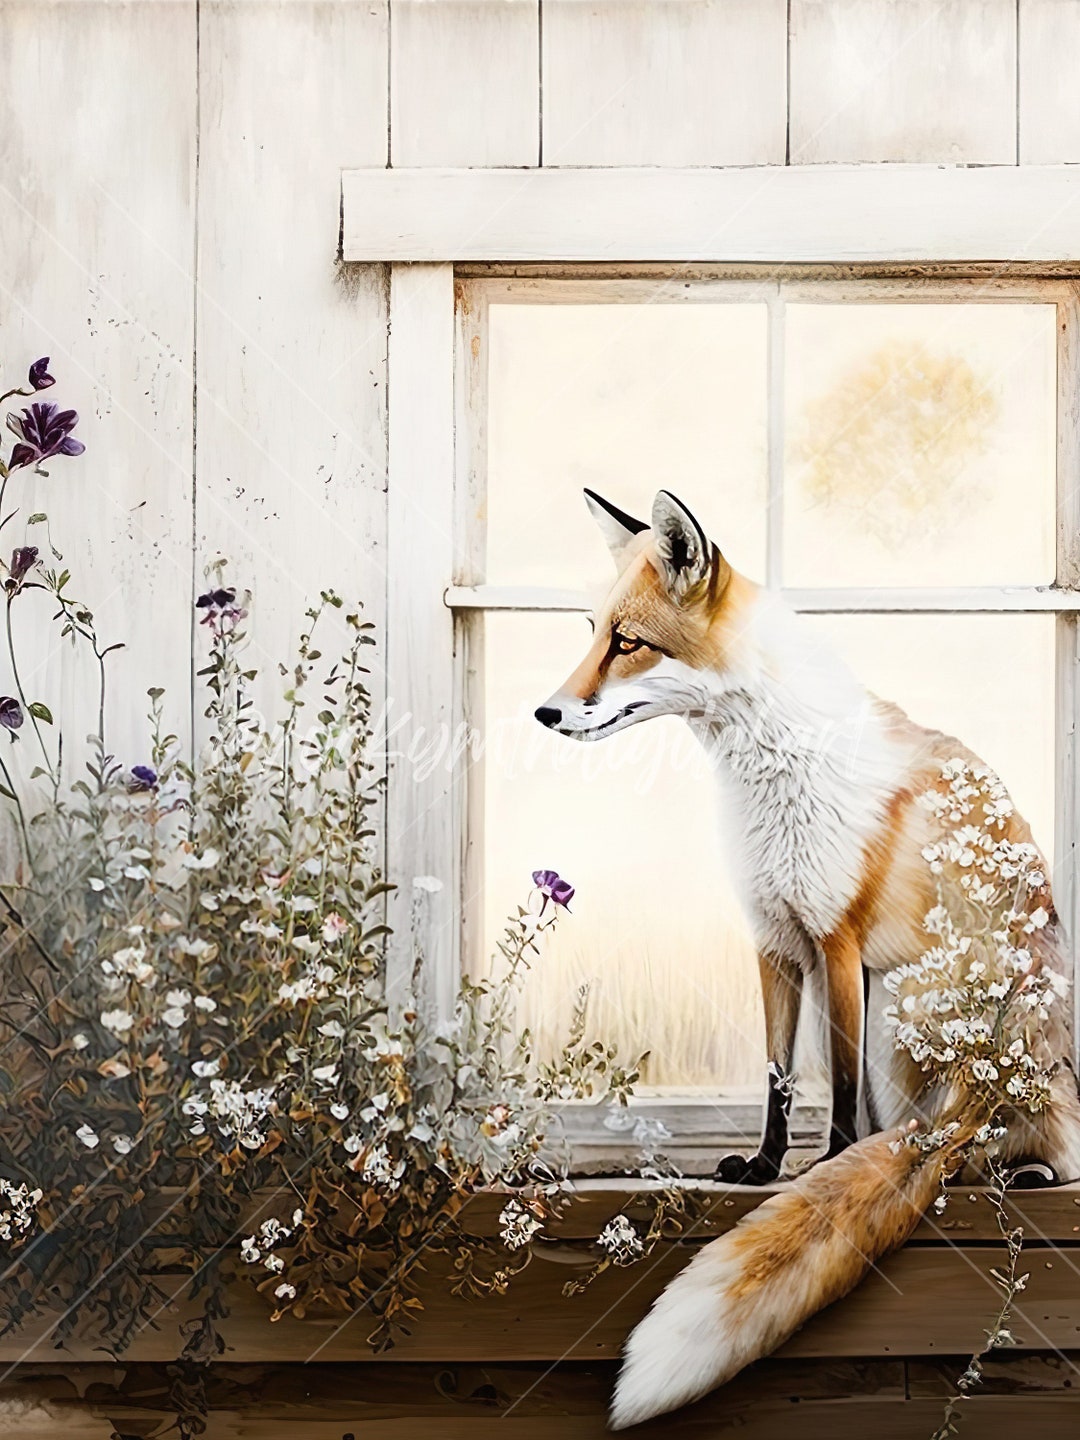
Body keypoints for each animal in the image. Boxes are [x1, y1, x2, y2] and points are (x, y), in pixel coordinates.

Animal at [534, 488, 1080, 1430]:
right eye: (592, 631)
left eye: (629, 643)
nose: (546, 713)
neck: (767, 775)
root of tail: (984, 1070)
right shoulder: (773, 940)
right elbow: (781, 1078)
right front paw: (764, 1169)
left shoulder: (837, 937)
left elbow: (840, 1081)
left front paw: (824, 1167)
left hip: (906, 1004)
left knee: (1023, 1145)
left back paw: (1024, 1164)